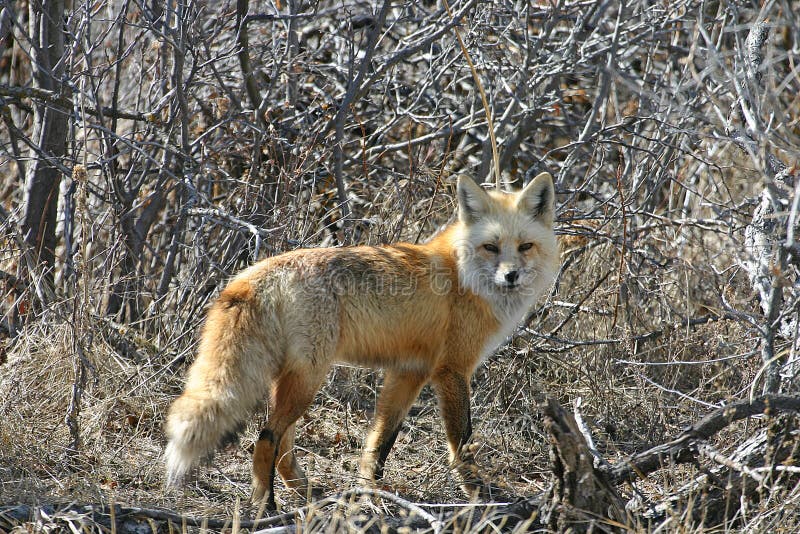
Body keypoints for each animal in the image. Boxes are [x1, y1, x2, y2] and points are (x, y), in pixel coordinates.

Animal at [164, 172, 559, 509]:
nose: (511, 276)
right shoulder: (452, 371)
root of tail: (251, 275)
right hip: (309, 378)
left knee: (283, 444)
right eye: (491, 247)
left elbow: (380, 442)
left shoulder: (409, 372)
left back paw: (305, 492)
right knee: (266, 439)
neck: (462, 277)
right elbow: (463, 441)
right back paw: (266, 505)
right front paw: (477, 492)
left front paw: (369, 491)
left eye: (525, 246)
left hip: (293, 380)